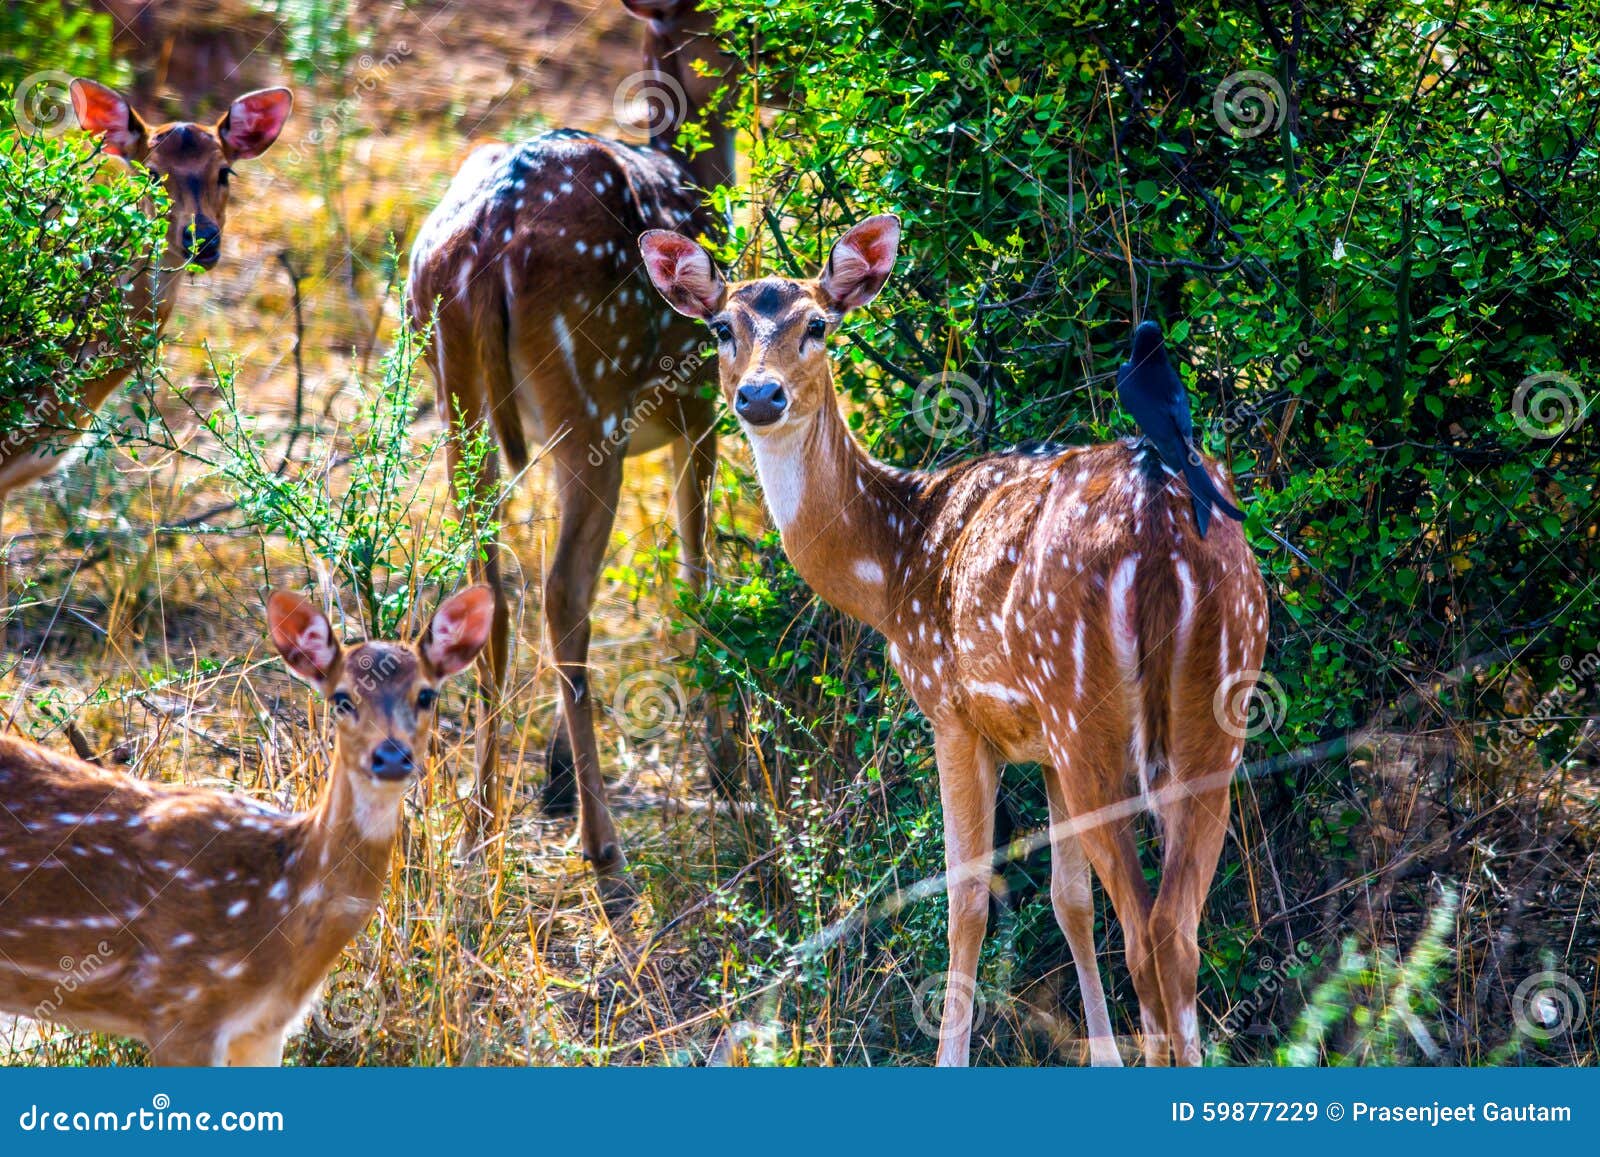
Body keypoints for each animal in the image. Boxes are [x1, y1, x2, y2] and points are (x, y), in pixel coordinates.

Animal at [405, 0, 735, 885]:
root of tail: (485, 242)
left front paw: (552, 774)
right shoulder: (703, 405)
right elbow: (696, 570)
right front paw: (724, 762)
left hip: (462, 406)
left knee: (488, 592)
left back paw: (479, 827)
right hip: (588, 405)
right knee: (561, 593)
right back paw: (601, 841)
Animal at [639, 215, 1270, 1065]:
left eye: (818, 324)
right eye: (720, 327)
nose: (761, 394)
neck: (897, 560)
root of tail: (1161, 536)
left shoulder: (952, 710)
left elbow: (968, 893)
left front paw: (951, 1055)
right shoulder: (1040, 746)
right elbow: (1069, 901)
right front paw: (1100, 1054)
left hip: (1087, 708)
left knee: (1150, 929)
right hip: (1219, 694)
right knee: (1180, 927)